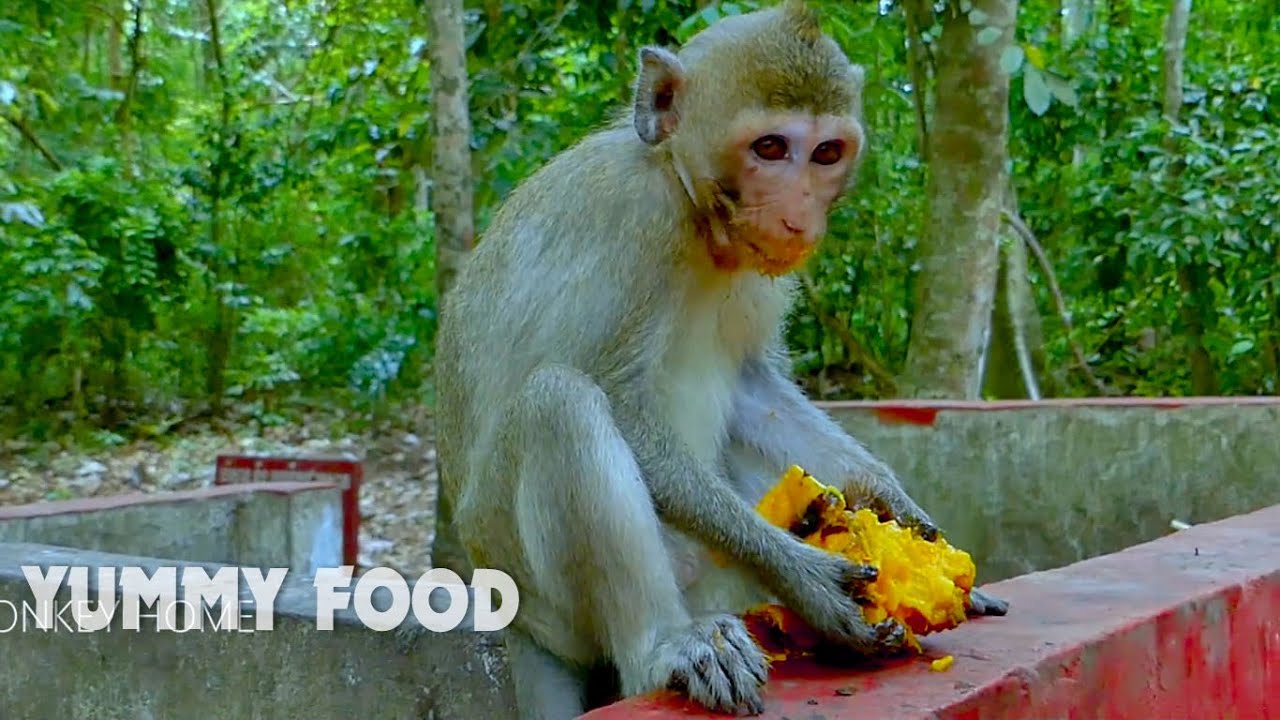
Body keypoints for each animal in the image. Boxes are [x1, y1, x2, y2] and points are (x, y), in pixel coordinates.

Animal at [432, 2, 1008, 717]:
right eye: (770, 148)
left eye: (825, 153)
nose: (798, 218)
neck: (693, 209)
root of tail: (509, 614)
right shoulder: (638, 222)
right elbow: (622, 404)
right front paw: (805, 575)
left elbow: (753, 388)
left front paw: (888, 501)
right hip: (540, 587)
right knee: (558, 402)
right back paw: (668, 644)